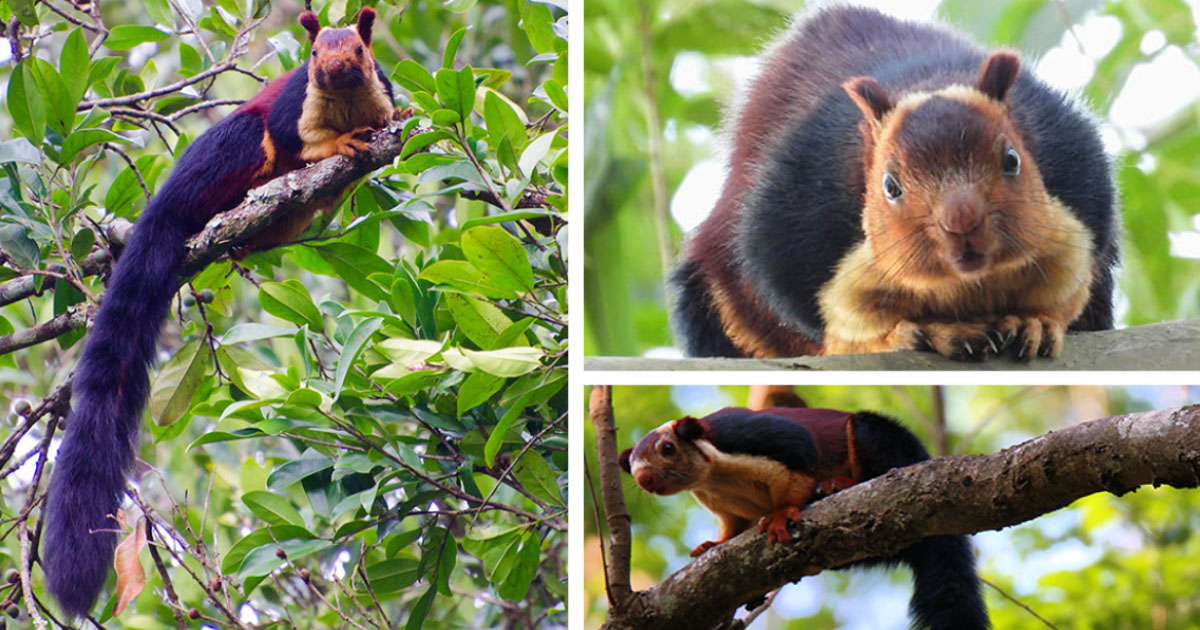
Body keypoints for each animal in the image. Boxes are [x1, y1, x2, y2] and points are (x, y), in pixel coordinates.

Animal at [43, 8, 402, 616]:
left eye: (357, 50)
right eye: (314, 55)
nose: (331, 70)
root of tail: (162, 205)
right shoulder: (293, 109)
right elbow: (301, 141)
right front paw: (340, 143)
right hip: (231, 151)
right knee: (251, 151)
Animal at [619, 407, 989, 630]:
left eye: (667, 449)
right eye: (632, 464)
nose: (644, 479)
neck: (712, 476)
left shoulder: (750, 436)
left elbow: (800, 457)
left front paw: (781, 513)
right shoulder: (724, 506)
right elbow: (732, 527)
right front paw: (713, 544)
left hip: (879, 439)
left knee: (874, 456)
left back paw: (838, 485)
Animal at [671, 6, 1118, 361]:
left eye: (1012, 160)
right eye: (890, 186)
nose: (961, 221)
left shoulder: (1077, 167)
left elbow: (1075, 282)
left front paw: (1034, 321)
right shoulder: (791, 217)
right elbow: (830, 320)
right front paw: (919, 333)